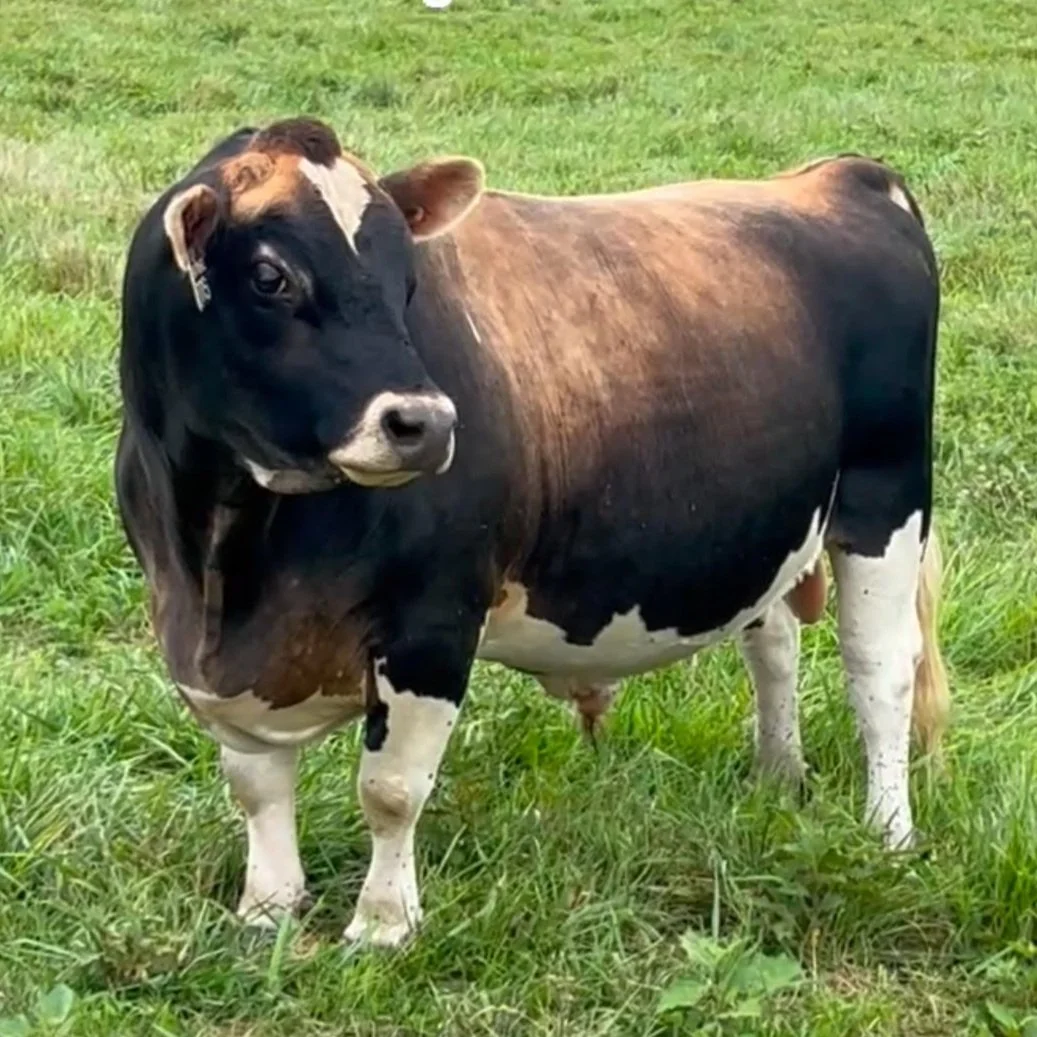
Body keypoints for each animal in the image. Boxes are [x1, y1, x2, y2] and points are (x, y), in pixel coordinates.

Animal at [116, 117, 949, 948]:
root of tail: (840, 175)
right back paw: (777, 777)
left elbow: (390, 788)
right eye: (269, 276)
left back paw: (887, 831)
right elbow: (254, 785)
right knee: (771, 643)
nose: (426, 423)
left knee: (878, 669)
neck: (227, 555)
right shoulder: (203, 646)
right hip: (767, 525)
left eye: (405, 275)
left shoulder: (432, 625)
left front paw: (383, 924)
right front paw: (268, 909)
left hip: (886, 498)